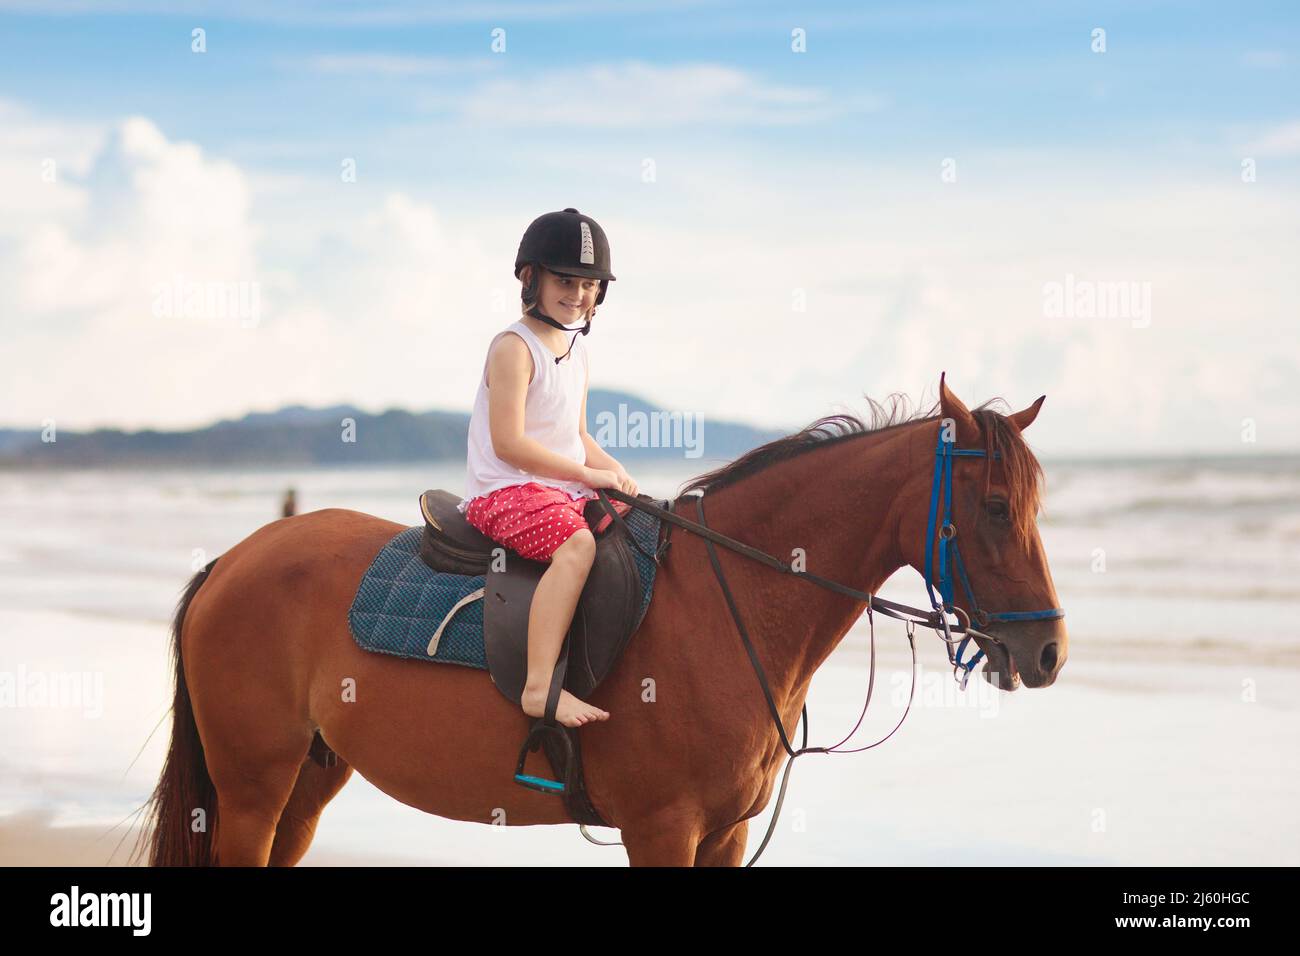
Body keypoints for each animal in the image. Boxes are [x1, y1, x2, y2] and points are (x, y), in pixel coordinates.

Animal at [135, 375, 1067, 866]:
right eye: (993, 507)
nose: (1049, 650)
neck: (727, 603)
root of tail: (235, 560)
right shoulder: (662, 830)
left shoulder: (724, 834)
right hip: (252, 786)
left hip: (306, 782)